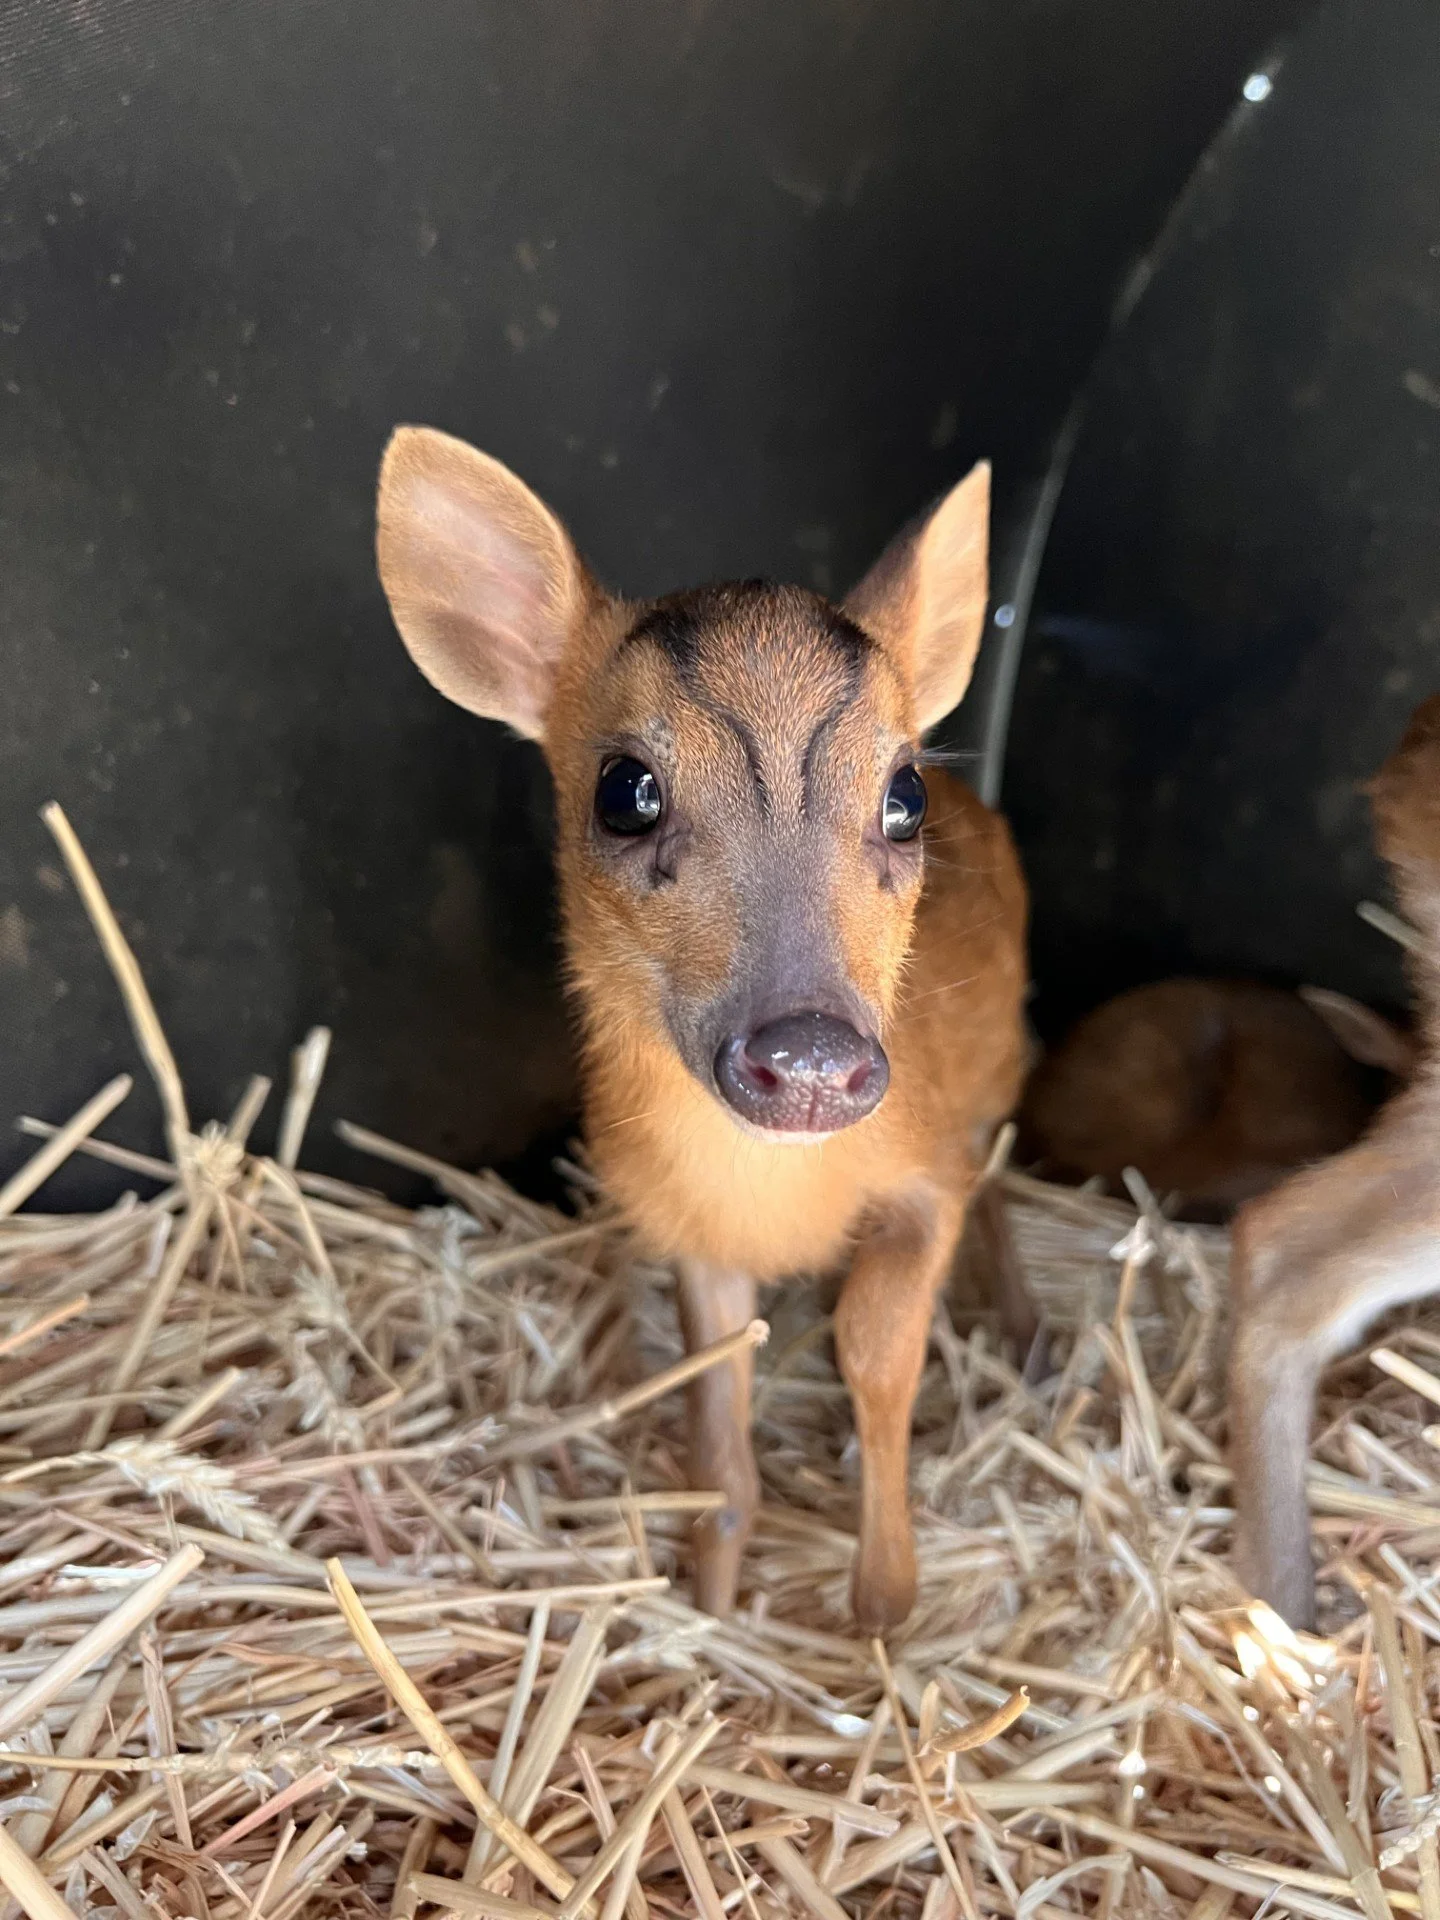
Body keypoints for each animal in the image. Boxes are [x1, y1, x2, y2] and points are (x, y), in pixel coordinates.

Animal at [375, 425, 1035, 1631]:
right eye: (625, 789)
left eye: (905, 793)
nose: (812, 1059)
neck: (774, 1191)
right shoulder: (694, 1234)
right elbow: (718, 1442)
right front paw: (715, 1606)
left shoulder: (924, 1173)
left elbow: (875, 1352)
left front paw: (884, 1608)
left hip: (1001, 1059)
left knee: (1000, 1171)